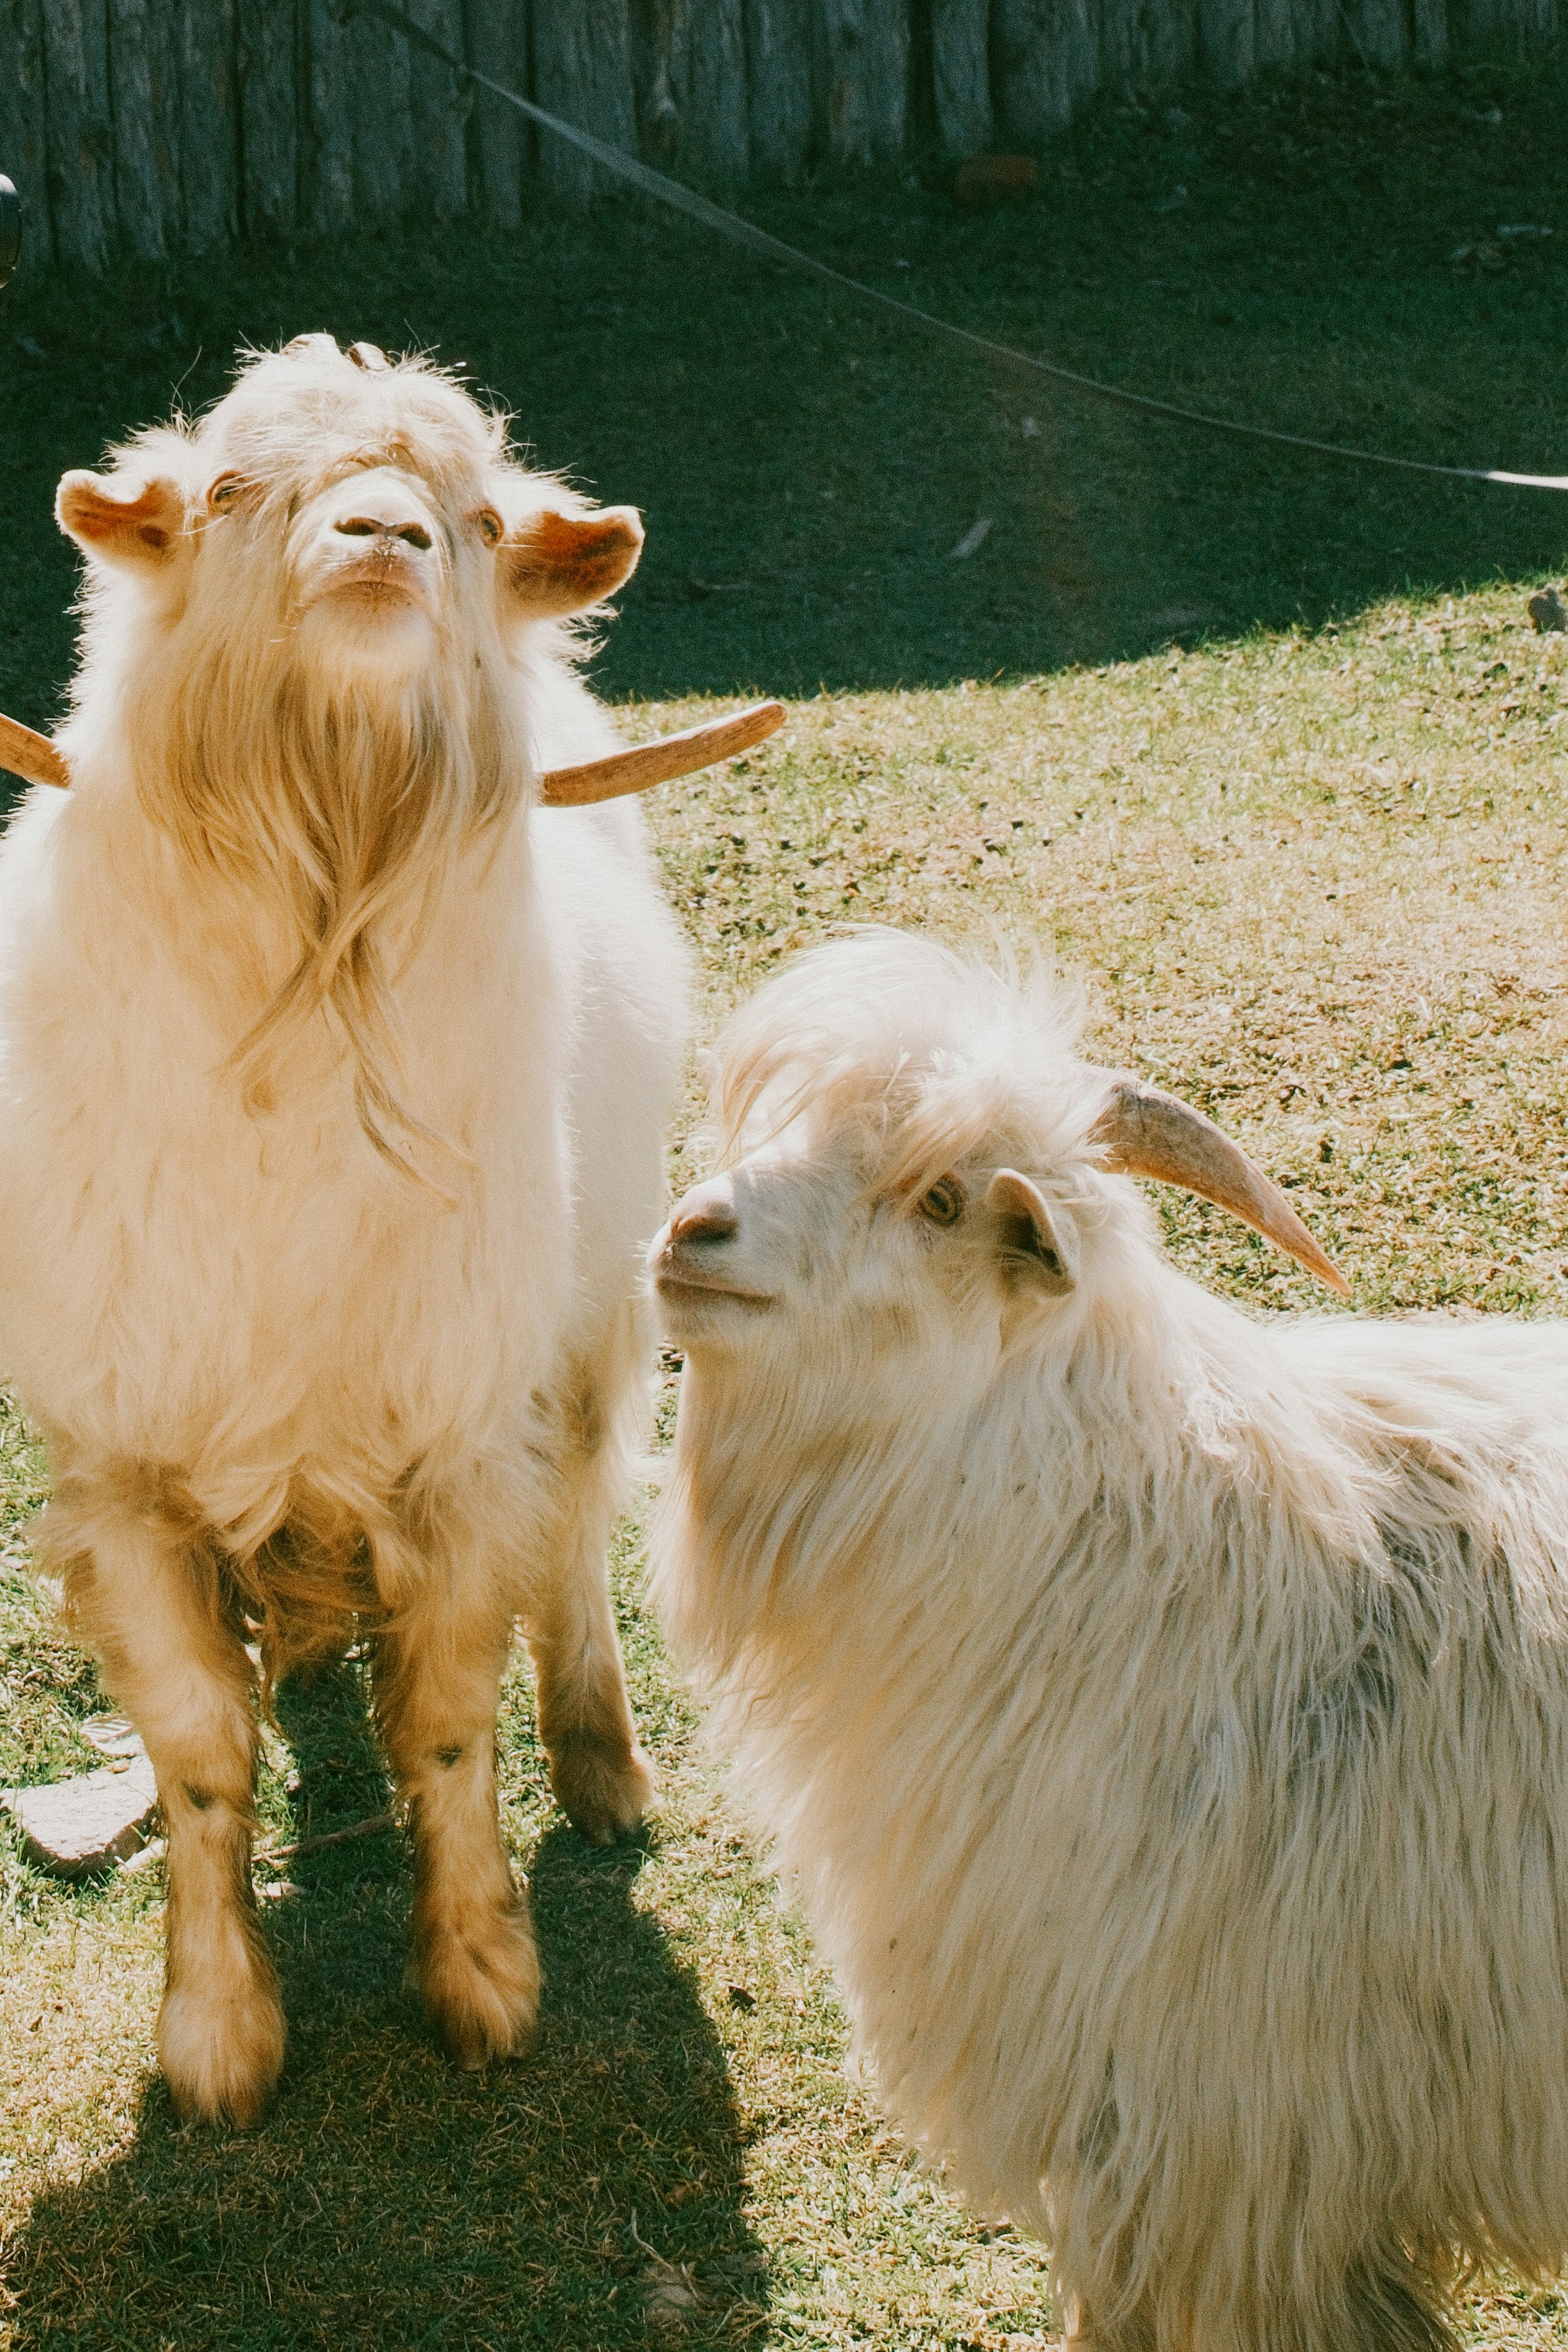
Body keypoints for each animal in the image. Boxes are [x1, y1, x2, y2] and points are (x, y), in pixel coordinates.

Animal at [0, 335, 689, 2124]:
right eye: (235, 489)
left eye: (475, 514)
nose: (385, 537)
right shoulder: (125, 1461)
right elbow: (195, 1749)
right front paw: (219, 2035)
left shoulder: (456, 1439)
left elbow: (446, 1720)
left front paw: (484, 1979)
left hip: (594, 1315)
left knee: (577, 1534)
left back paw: (602, 1763)